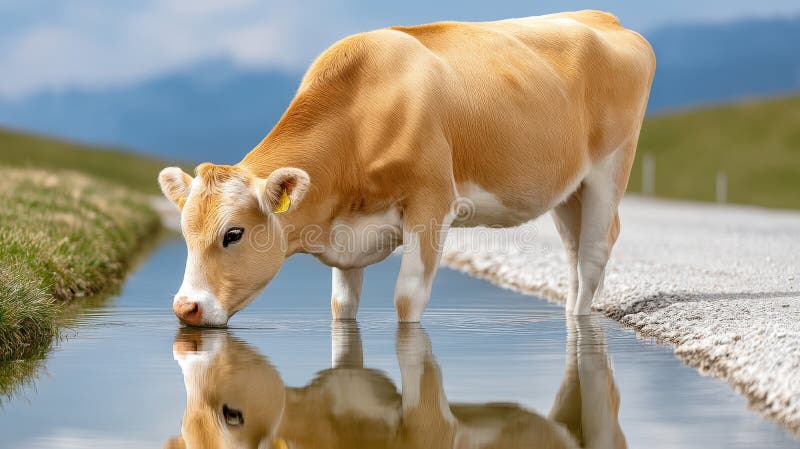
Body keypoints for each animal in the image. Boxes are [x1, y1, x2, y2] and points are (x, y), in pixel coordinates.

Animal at [158, 10, 656, 326]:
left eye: (233, 234)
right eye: (184, 233)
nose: (186, 309)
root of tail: (605, 19)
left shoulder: (432, 203)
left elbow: (406, 299)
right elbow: (342, 305)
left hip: (611, 165)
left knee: (594, 249)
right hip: (568, 186)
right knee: (573, 254)